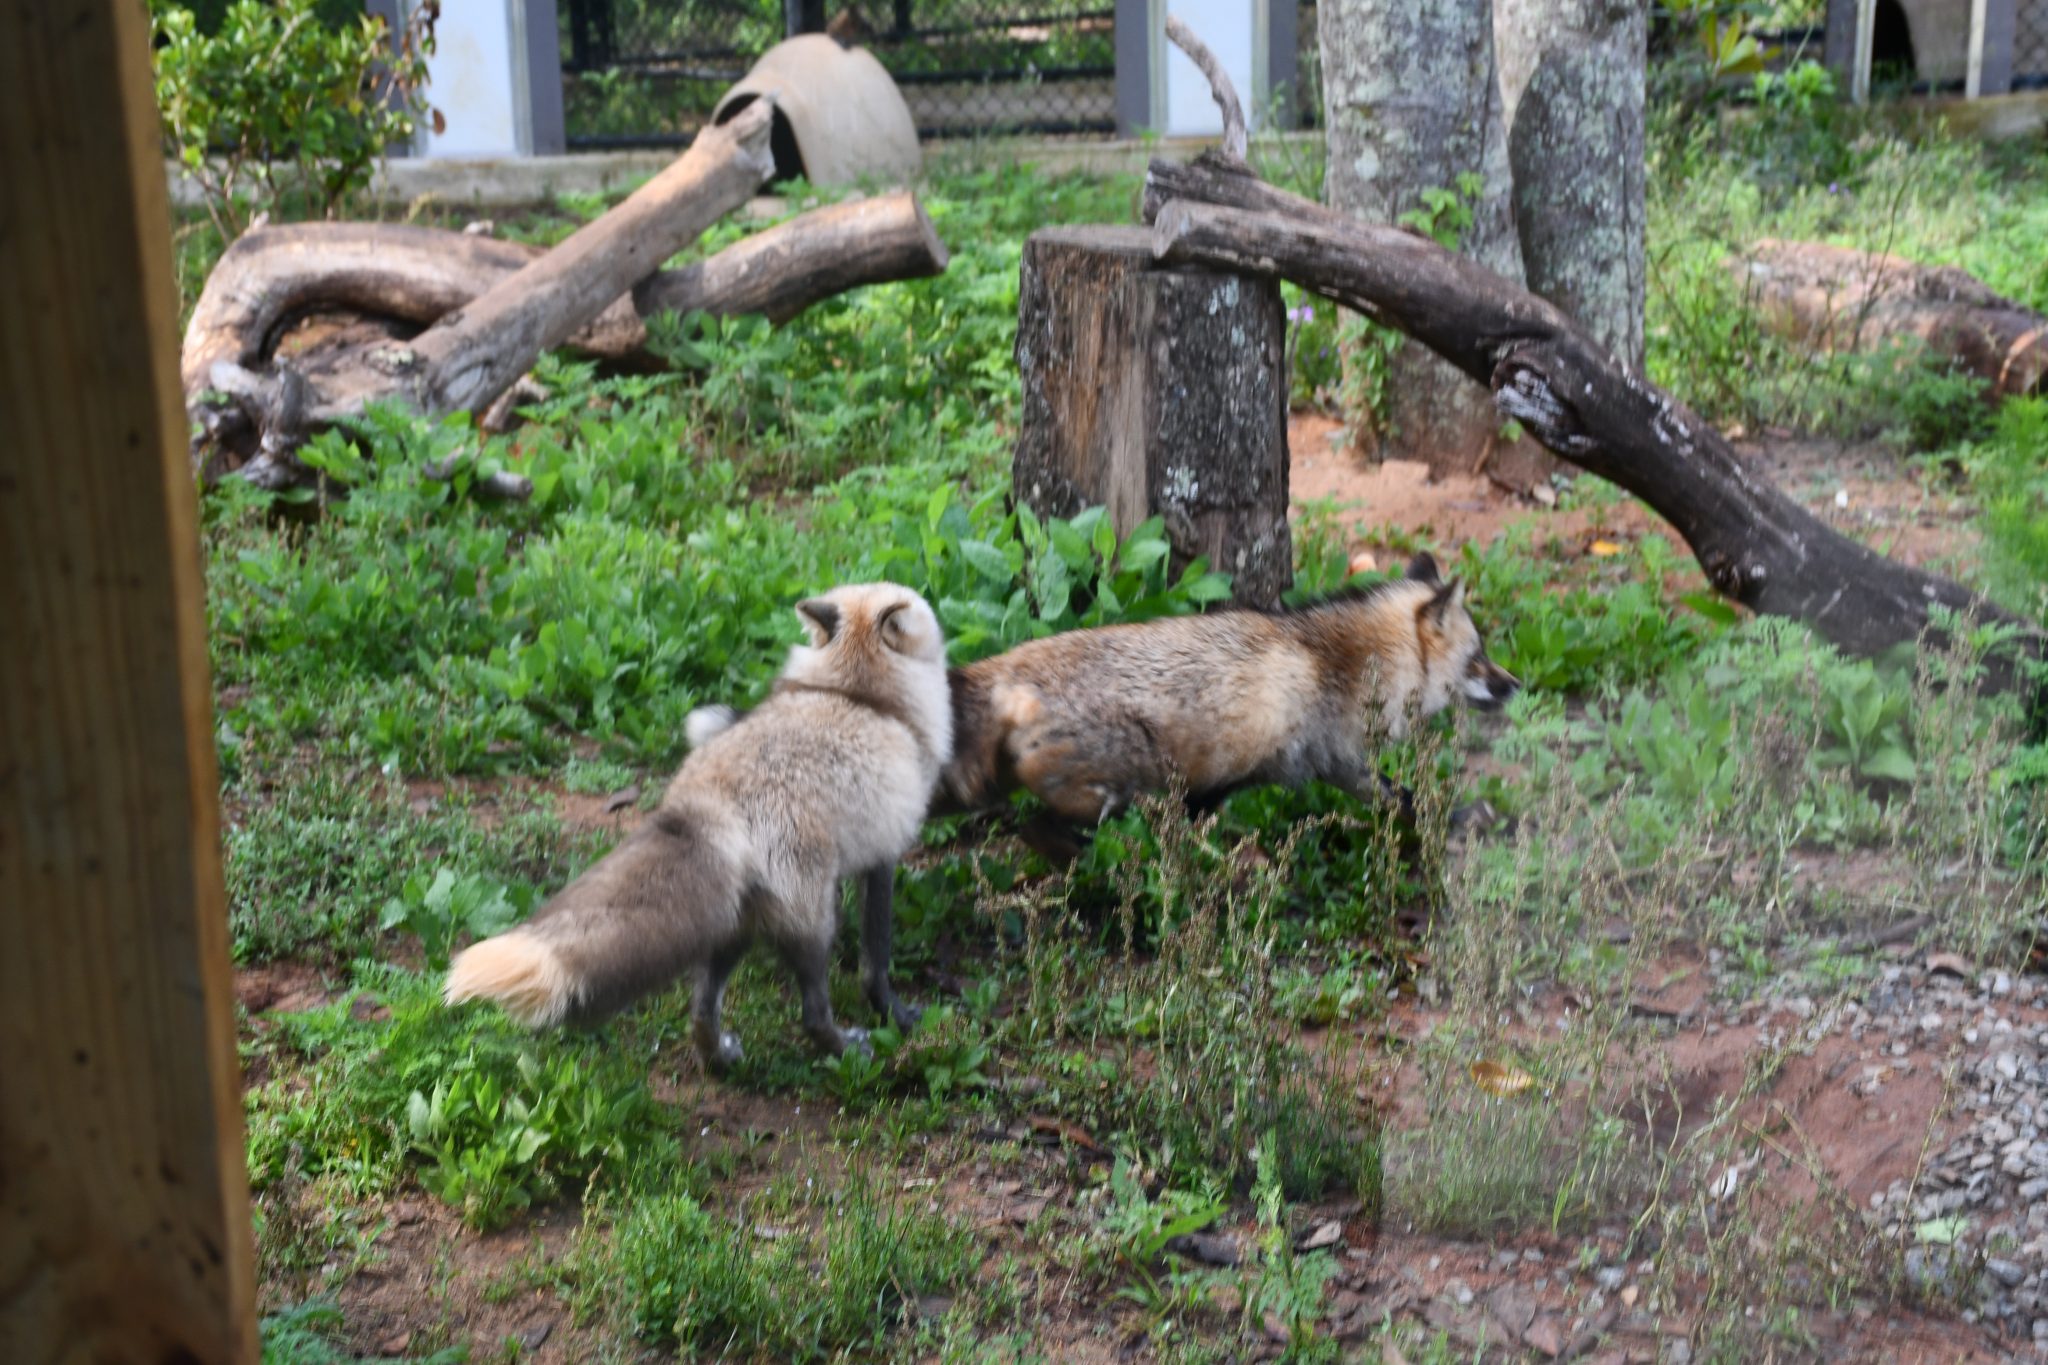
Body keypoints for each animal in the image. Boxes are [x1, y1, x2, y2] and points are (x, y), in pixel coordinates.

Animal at [444, 582, 951, 1076]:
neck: (860, 695)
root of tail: (713, 805)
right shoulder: (883, 857)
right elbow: (875, 963)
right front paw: (898, 1017)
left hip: (734, 922)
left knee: (700, 1010)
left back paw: (718, 1057)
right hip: (814, 921)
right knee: (811, 1013)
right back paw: (843, 1048)